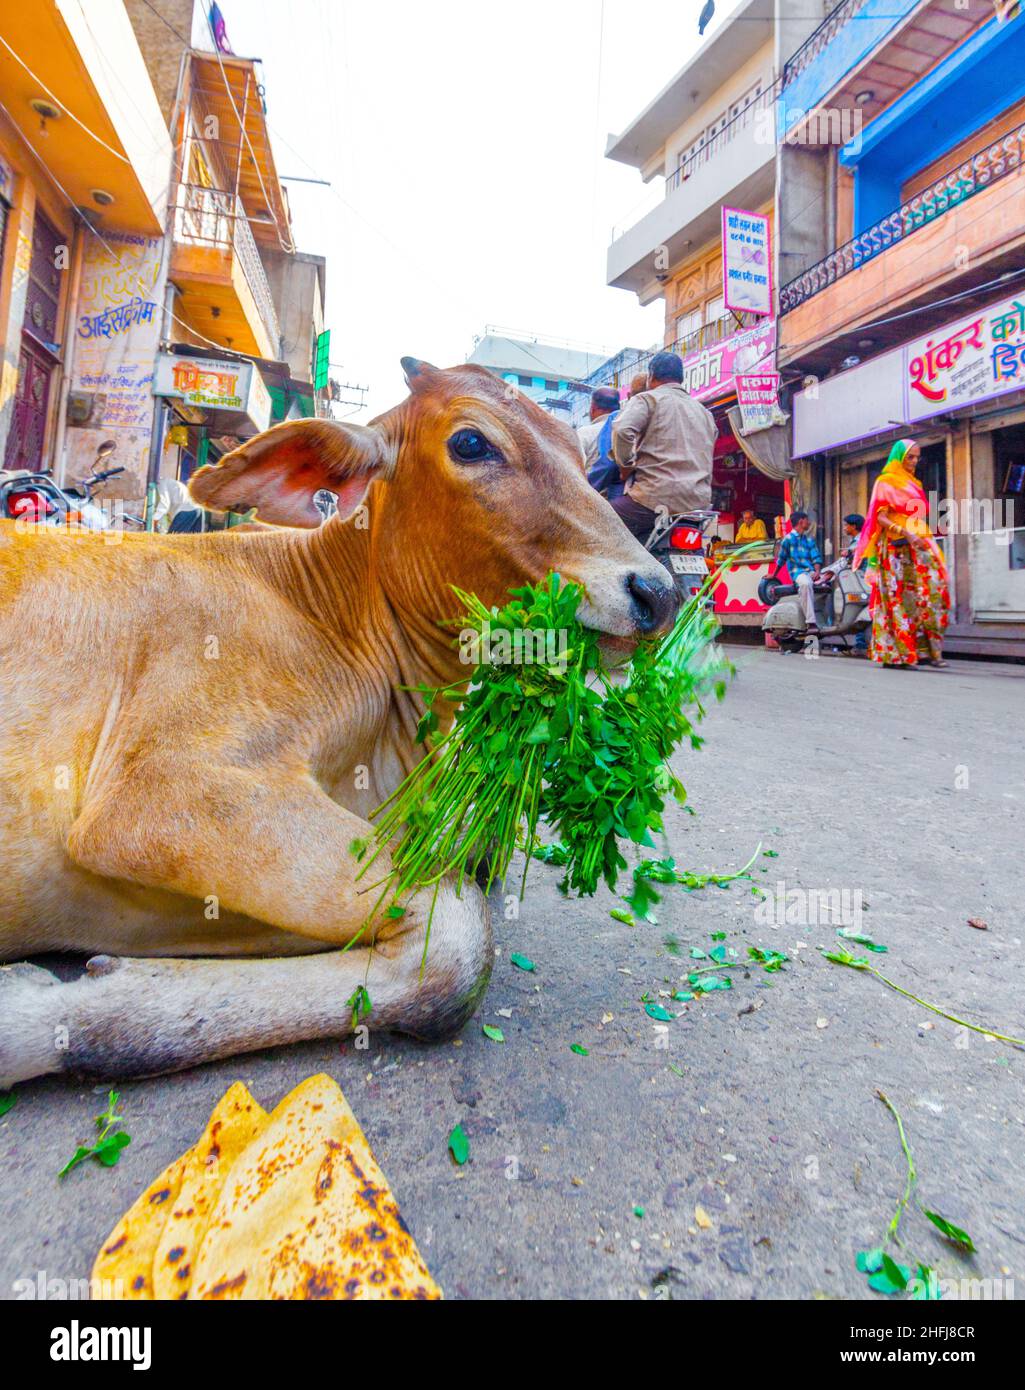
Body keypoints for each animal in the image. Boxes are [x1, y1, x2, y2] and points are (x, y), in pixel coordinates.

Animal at [0, 359, 678, 1085]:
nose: (657, 593)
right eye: (471, 443)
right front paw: (44, 1021)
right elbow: (457, 945)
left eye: (580, 454)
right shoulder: (155, 794)